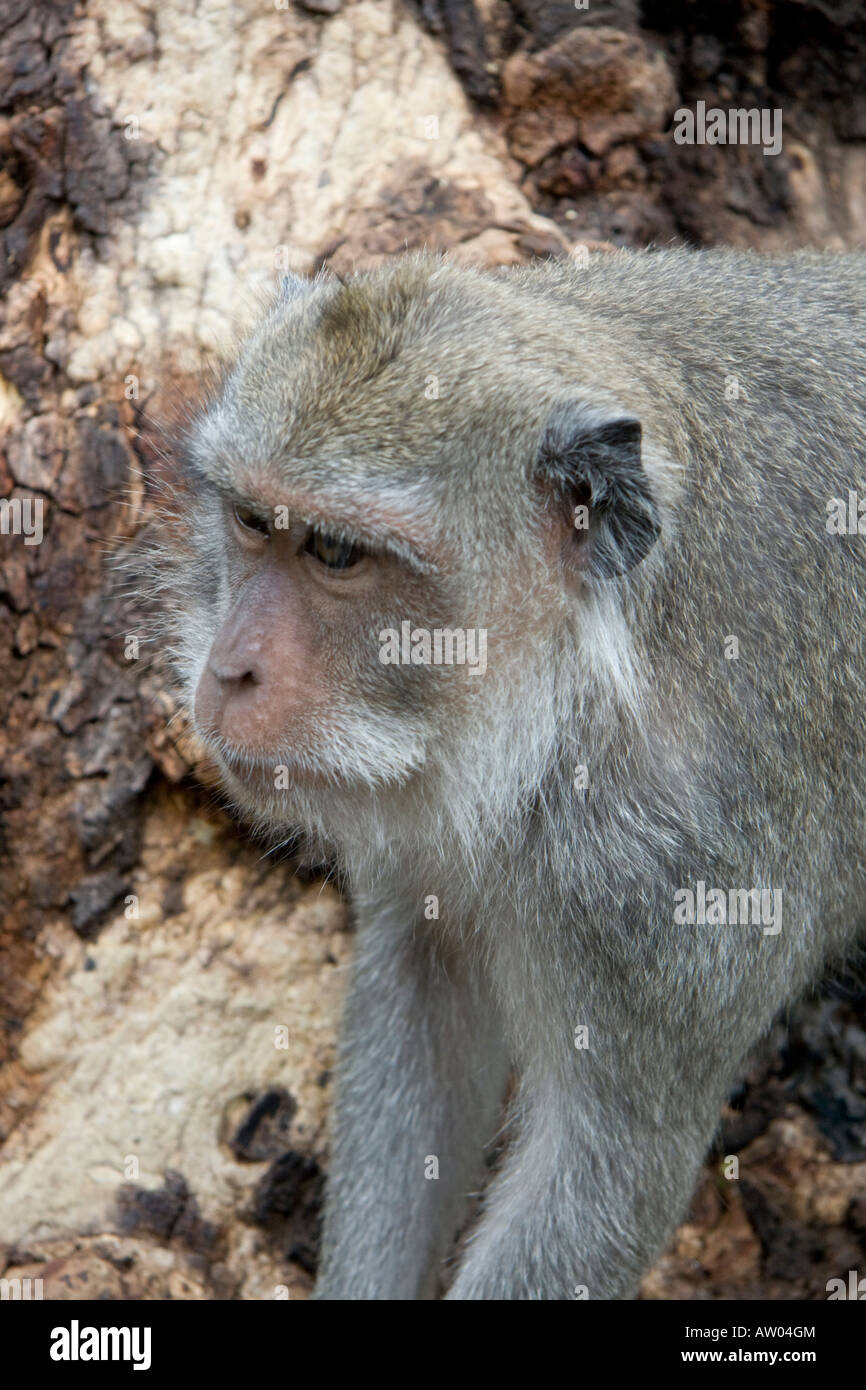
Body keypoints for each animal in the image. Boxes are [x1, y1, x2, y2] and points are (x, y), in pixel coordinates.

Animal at [150, 246, 866, 1299]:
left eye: (335, 551)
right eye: (251, 521)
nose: (231, 670)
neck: (568, 703)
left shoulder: (683, 868)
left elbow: (609, 1164)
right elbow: (421, 1015)